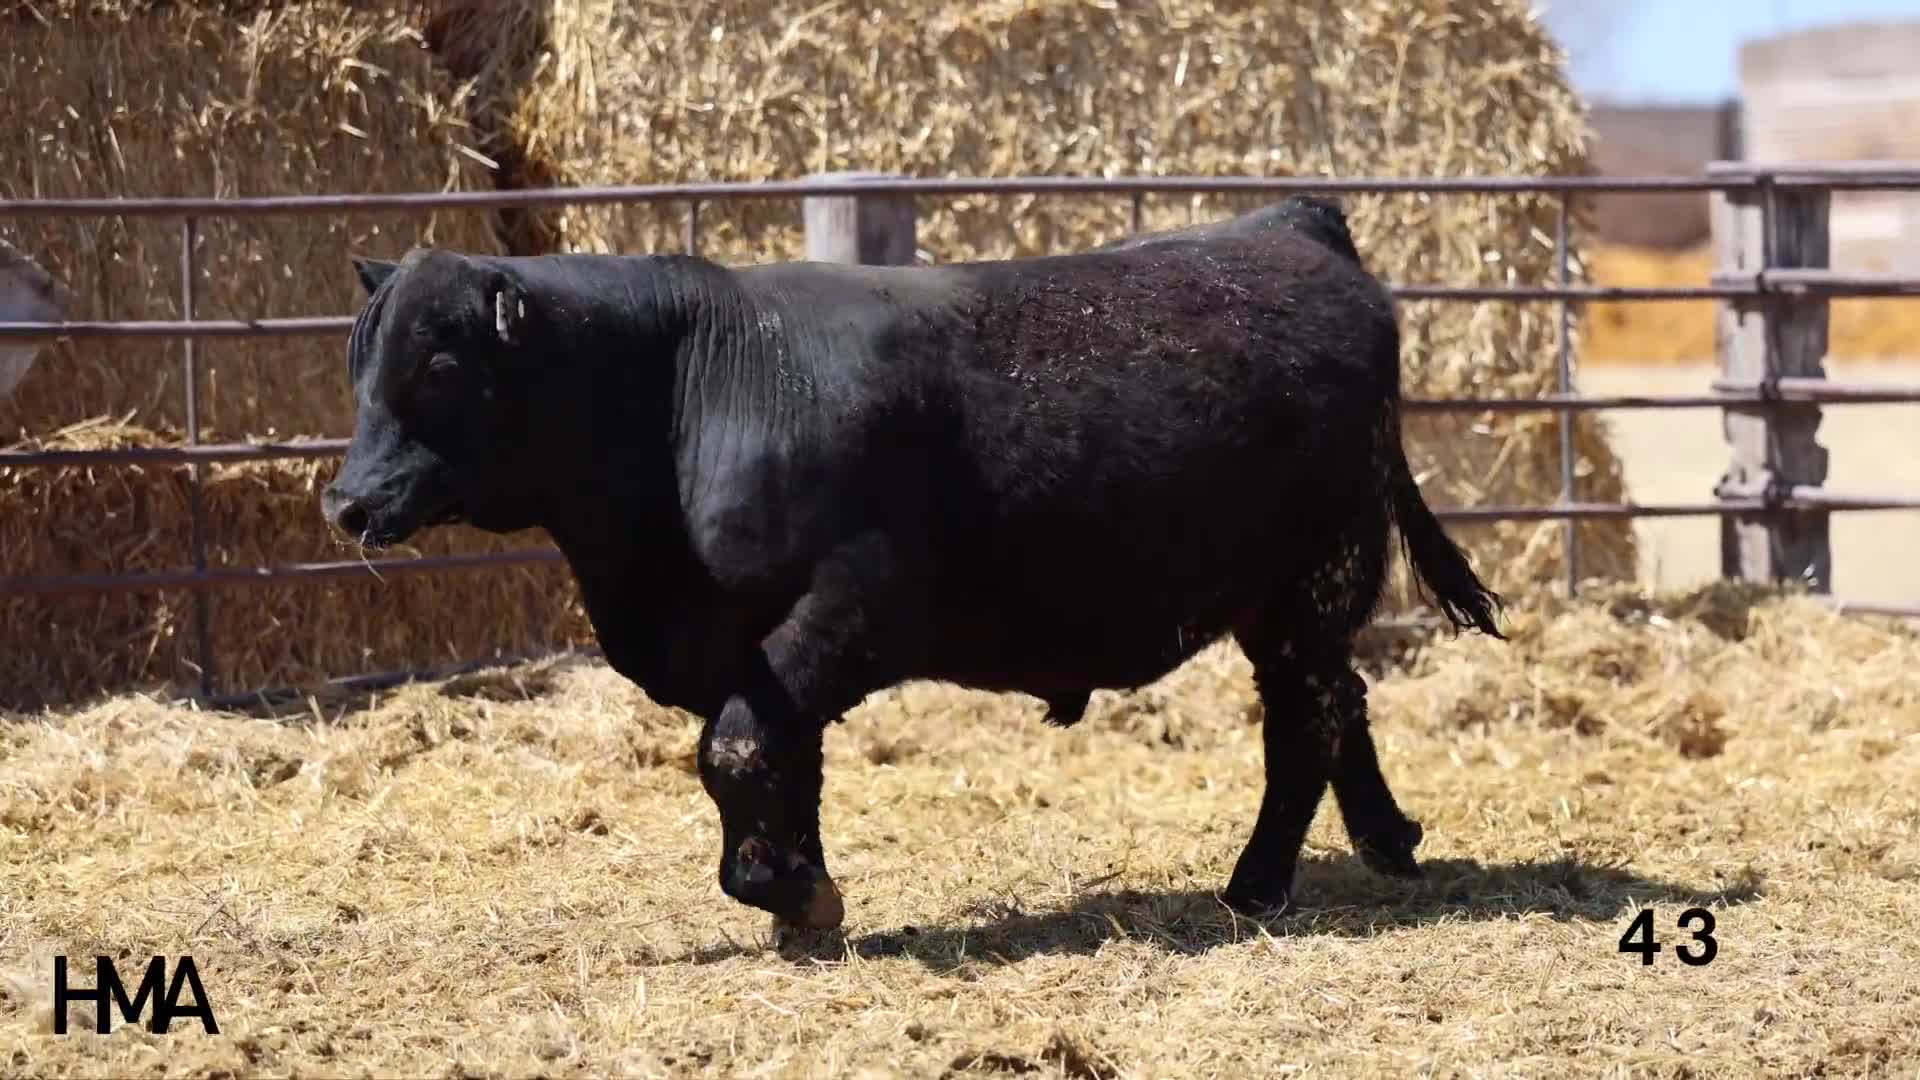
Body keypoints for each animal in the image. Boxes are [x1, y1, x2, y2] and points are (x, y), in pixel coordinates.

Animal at [324, 200, 1504, 936]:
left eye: (440, 362)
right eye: (357, 362)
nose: (345, 501)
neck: (693, 387)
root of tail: (1286, 228)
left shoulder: (854, 607)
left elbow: (739, 750)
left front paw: (789, 893)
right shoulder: (747, 648)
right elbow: (777, 756)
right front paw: (797, 886)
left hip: (1313, 577)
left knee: (1306, 718)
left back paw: (1257, 887)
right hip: (1289, 599)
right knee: (1341, 702)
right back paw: (1387, 842)